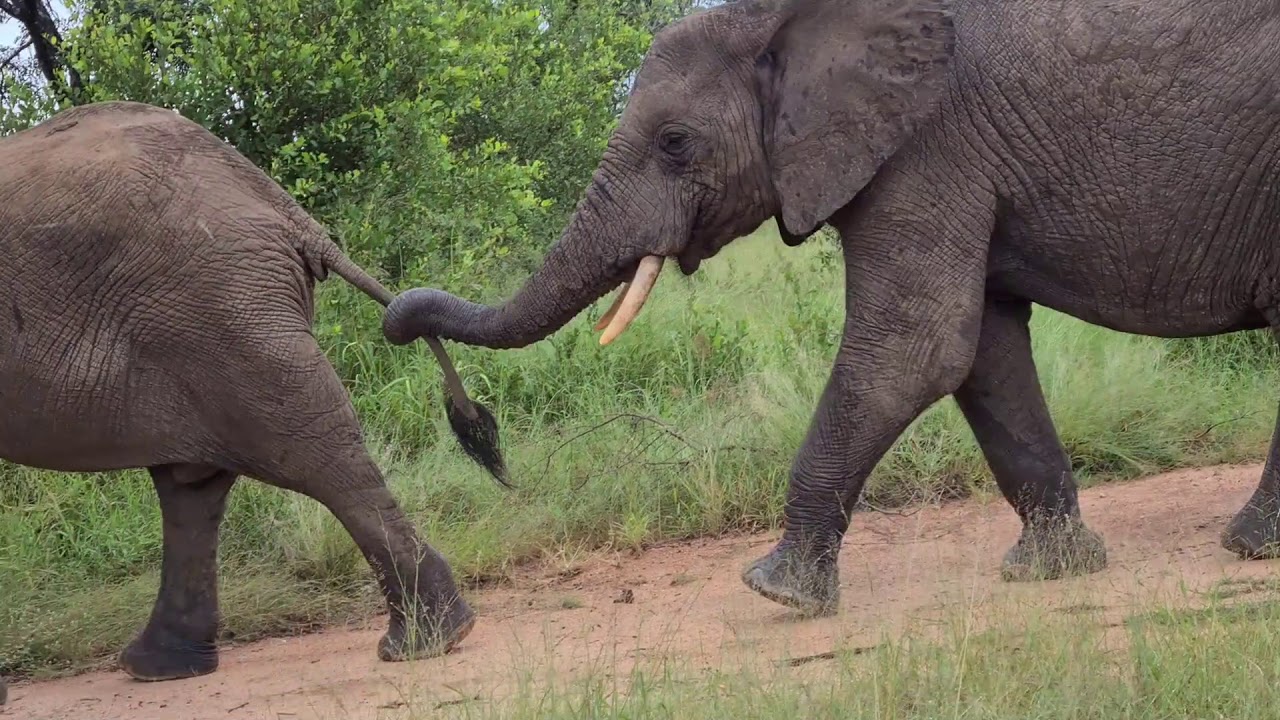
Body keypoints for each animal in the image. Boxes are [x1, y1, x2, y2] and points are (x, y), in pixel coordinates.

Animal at [0, 100, 507, 688]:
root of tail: (285, 209)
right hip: (209, 324)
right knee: (193, 487)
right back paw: (161, 667)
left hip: (221, 313)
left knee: (317, 459)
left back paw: (427, 642)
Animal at [382, 0, 1280, 617]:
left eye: (676, 143)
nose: (395, 318)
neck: (779, 17)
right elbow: (982, 350)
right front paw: (1052, 570)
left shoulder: (928, 143)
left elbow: (915, 348)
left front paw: (776, 592)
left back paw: (1248, 547)